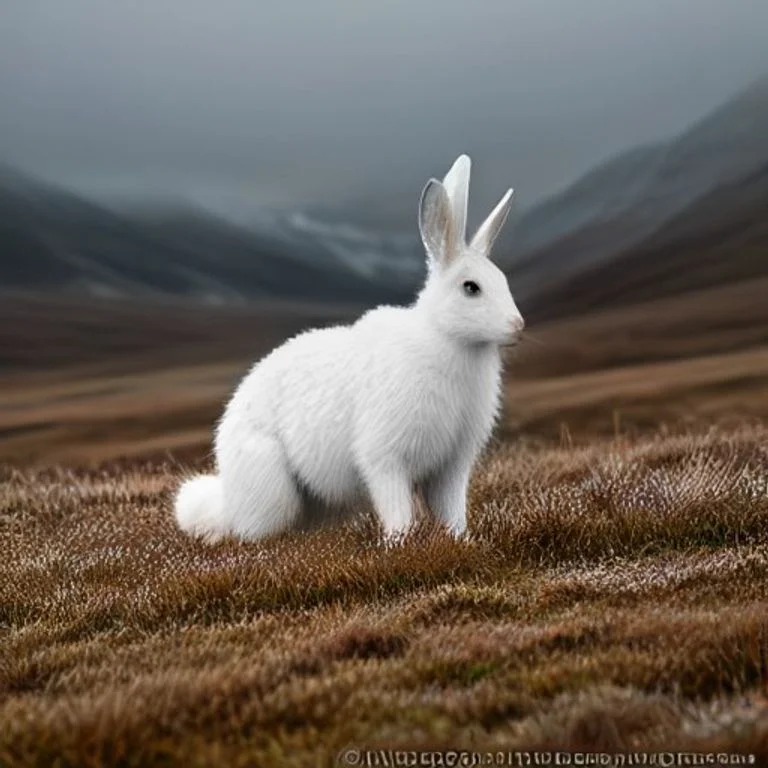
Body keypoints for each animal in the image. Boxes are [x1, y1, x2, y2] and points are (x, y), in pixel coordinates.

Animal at [174, 154, 524, 543]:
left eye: (503, 280)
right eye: (471, 288)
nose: (518, 325)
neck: (444, 337)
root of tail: (229, 498)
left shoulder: (452, 467)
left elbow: (451, 510)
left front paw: (461, 539)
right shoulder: (385, 458)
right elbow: (397, 508)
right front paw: (399, 543)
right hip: (272, 489)